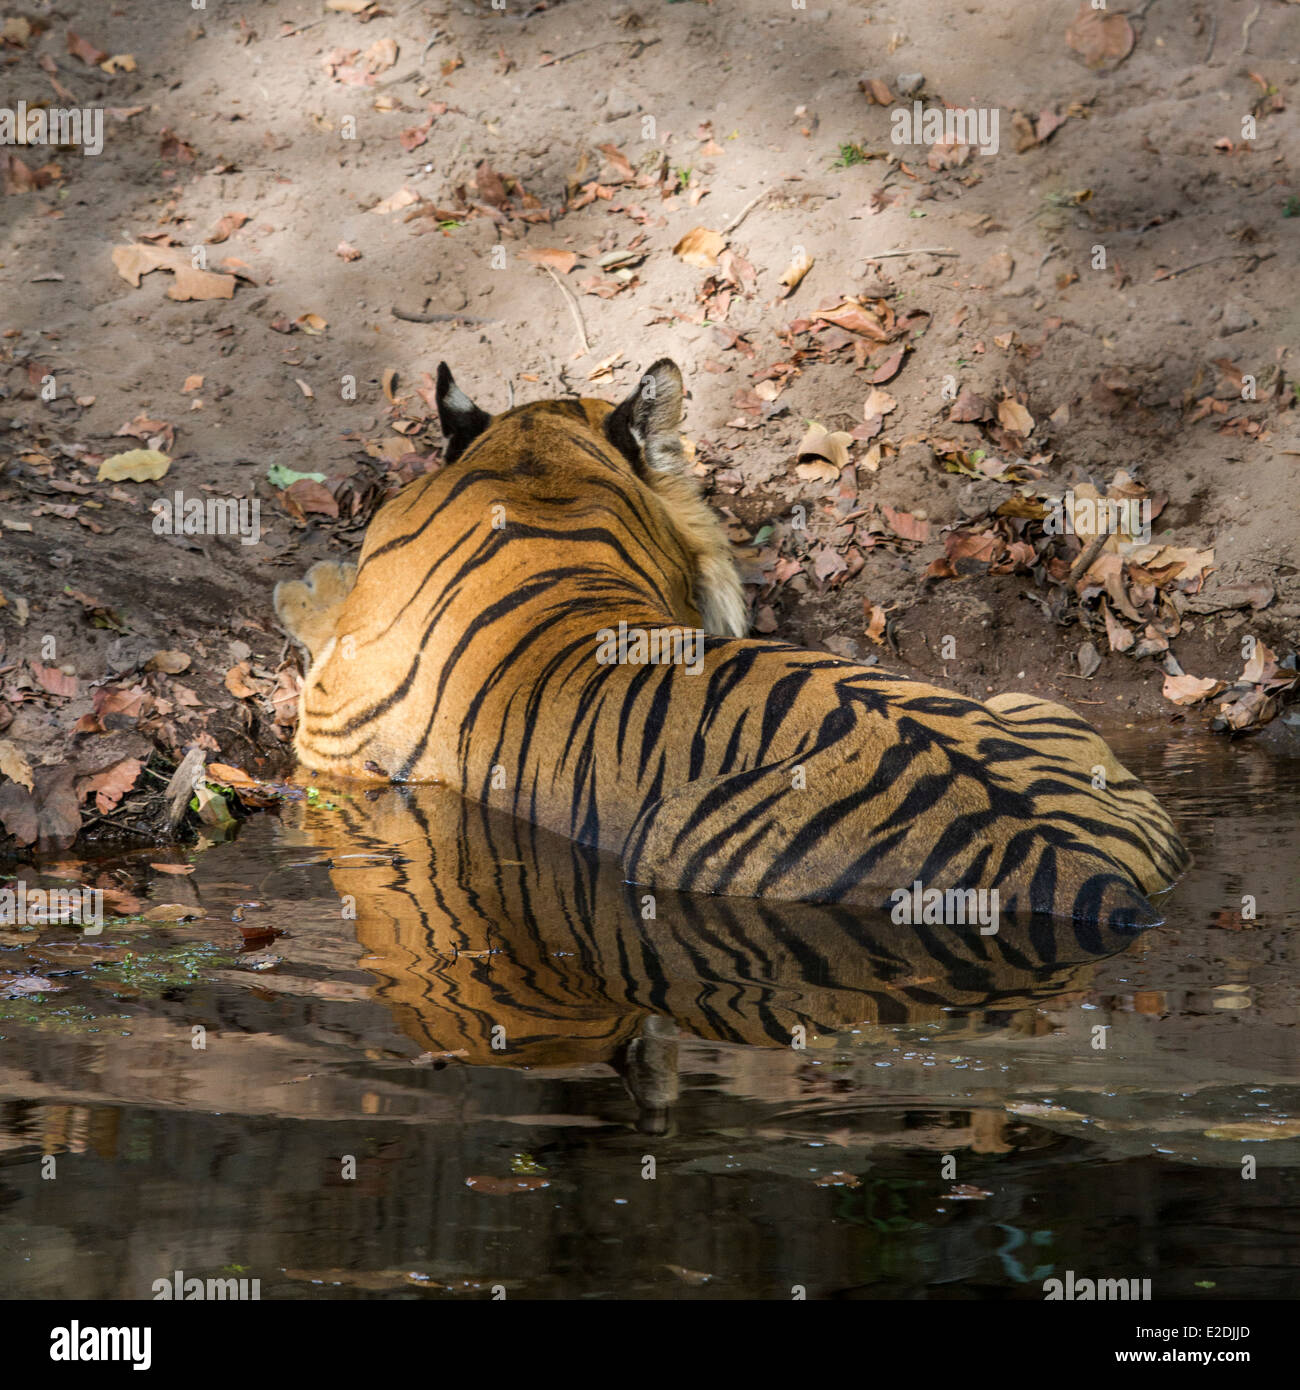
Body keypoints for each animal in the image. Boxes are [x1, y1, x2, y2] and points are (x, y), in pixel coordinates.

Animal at [274, 358, 1189, 927]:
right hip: (1028, 699)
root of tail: (1091, 874)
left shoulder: (330, 729)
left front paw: (305, 584)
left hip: (667, 836)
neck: (540, 475)